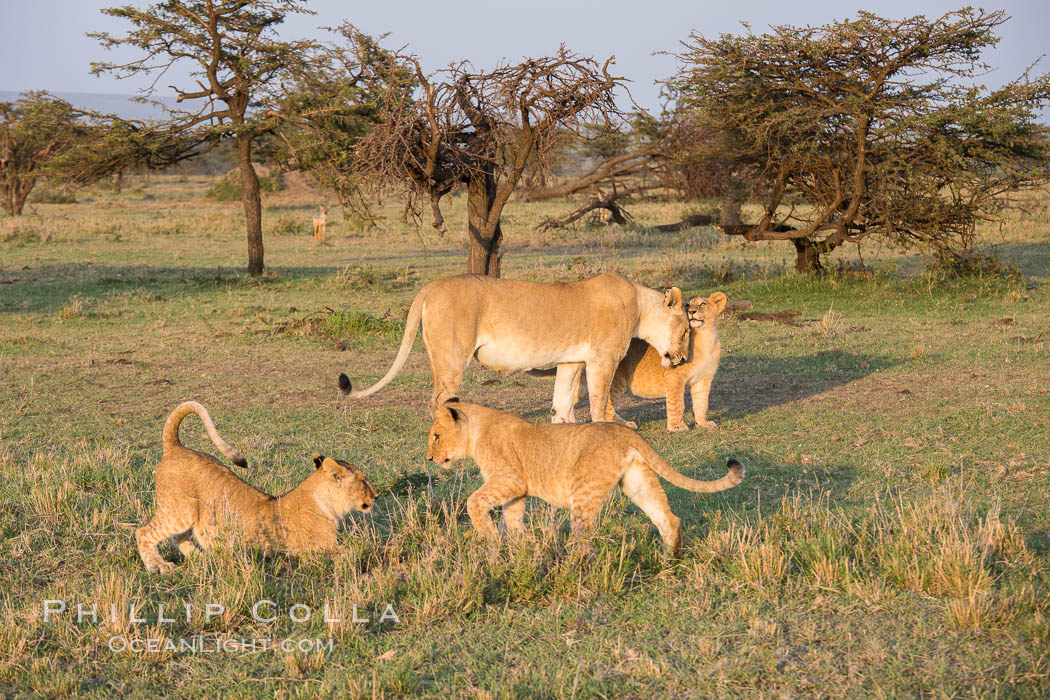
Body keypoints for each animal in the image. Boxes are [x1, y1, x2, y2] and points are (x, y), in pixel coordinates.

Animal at [136, 401, 376, 574]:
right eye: (364, 480)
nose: (376, 495)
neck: (326, 503)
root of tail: (175, 447)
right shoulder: (317, 549)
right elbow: (352, 552)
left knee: (178, 538)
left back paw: (206, 558)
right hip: (178, 511)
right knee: (144, 532)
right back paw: (159, 566)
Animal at [337, 273, 690, 423]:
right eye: (687, 329)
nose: (683, 358)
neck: (640, 306)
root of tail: (429, 287)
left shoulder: (572, 361)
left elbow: (562, 404)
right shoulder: (602, 360)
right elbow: (599, 403)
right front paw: (610, 428)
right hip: (452, 358)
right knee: (437, 402)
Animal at [425, 400, 744, 555]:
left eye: (436, 437)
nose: (429, 458)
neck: (476, 431)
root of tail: (623, 431)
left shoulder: (510, 480)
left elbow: (474, 502)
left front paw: (490, 541)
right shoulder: (516, 492)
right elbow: (513, 523)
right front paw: (519, 552)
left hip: (583, 491)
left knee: (583, 535)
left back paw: (572, 567)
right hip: (637, 483)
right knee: (669, 518)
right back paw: (670, 560)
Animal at [530, 292, 728, 431]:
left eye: (702, 304)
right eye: (687, 306)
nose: (692, 312)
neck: (705, 338)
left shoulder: (704, 380)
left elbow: (702, 404)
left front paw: (703, 423)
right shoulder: (674, 378)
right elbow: (677, 403)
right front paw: (676, 427)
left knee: (571, 398)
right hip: (615, 379)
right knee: (606, 407)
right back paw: (623, 425)